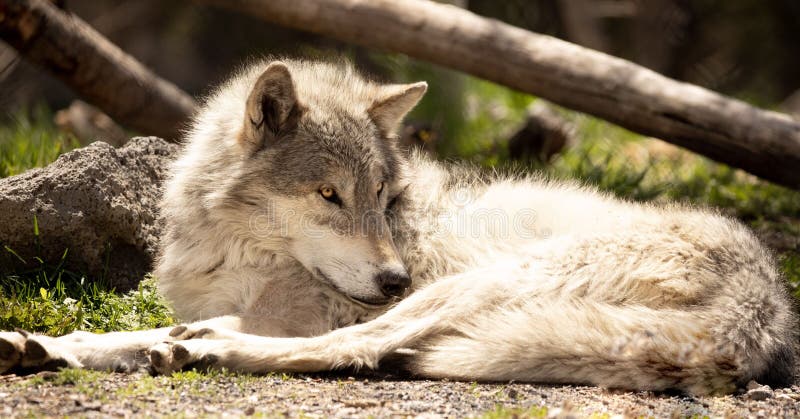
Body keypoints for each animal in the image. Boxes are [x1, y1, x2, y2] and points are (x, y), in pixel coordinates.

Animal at [0, 59, 796, 395]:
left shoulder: (297, 314)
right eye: (330, 194)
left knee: (357, 349)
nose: (394, 277)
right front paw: (40, 345)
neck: (236, 251)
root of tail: (766, 305)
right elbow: (116, 333)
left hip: (478, 283)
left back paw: (208, 348)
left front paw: (162, 342)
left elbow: (166, 331)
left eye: (382, 196)